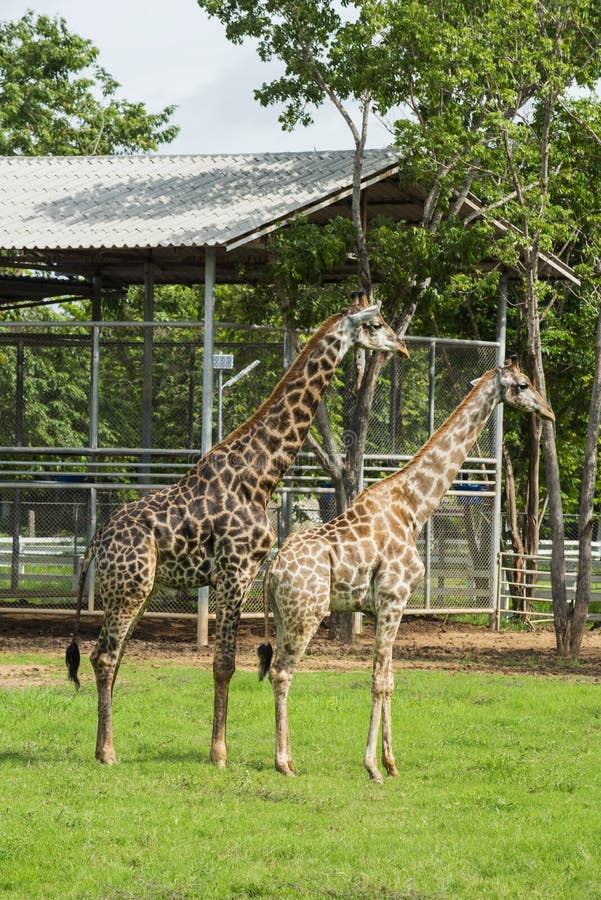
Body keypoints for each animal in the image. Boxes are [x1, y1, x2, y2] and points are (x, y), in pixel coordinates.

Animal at [66, 292, 409, 766]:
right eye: (375, 325)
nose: (402, 346)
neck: (261, 475)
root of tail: (97, 540)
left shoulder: (244, 574)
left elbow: (230, 662)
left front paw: (221, 748)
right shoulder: (234, 570)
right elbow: (224, 663)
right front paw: (219, 753)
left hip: (139, 590)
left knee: (111, 657)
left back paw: (102, 747)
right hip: (128, 588)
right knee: (104, 657)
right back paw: (110, 753)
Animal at [258, 358, 555, 782]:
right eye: (523, 384)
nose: (548, 412)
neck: (415, 507)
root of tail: (272, 570)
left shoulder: (389, 607)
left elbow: (391, 679)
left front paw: (391, 762)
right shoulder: (393, 600)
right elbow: (379, 680)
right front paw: (372, 767)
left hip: (286, 616)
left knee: (276, 671)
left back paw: (289, 759)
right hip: (307, 614)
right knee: (283, 672)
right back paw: (284, 763)